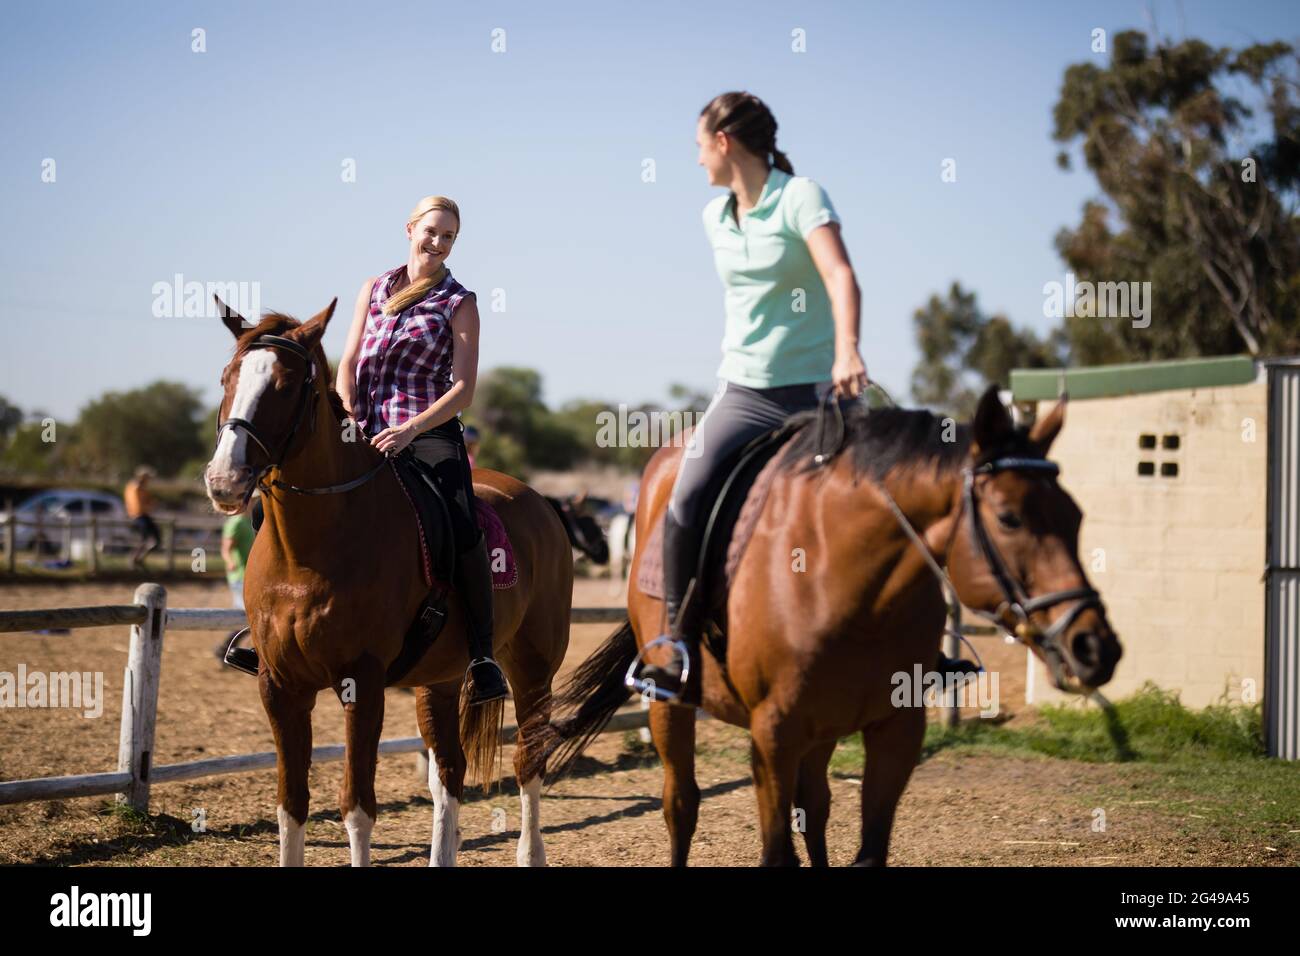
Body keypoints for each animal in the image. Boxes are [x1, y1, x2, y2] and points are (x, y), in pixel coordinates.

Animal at [203, 297, 572, 867]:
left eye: (286, 386)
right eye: (227, 378)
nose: (224, 480)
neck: (306, 553)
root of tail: (539, 502)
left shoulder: (362, 682)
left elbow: (357, 806)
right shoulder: (279, 687)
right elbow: (291, 805)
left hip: (532, 667)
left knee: (528, 763)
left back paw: (531, 853)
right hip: (439, 679)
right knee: (449, 772)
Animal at [525, 386, 1122, 866]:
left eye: (1076, 516)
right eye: (1009, 518)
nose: (1096, 647)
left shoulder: (896, 730)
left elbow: (863, 848)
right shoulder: (773, 736)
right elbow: (775, 853)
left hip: (824, 730)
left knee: (814, 805)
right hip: (671, 706)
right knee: (681, 805)